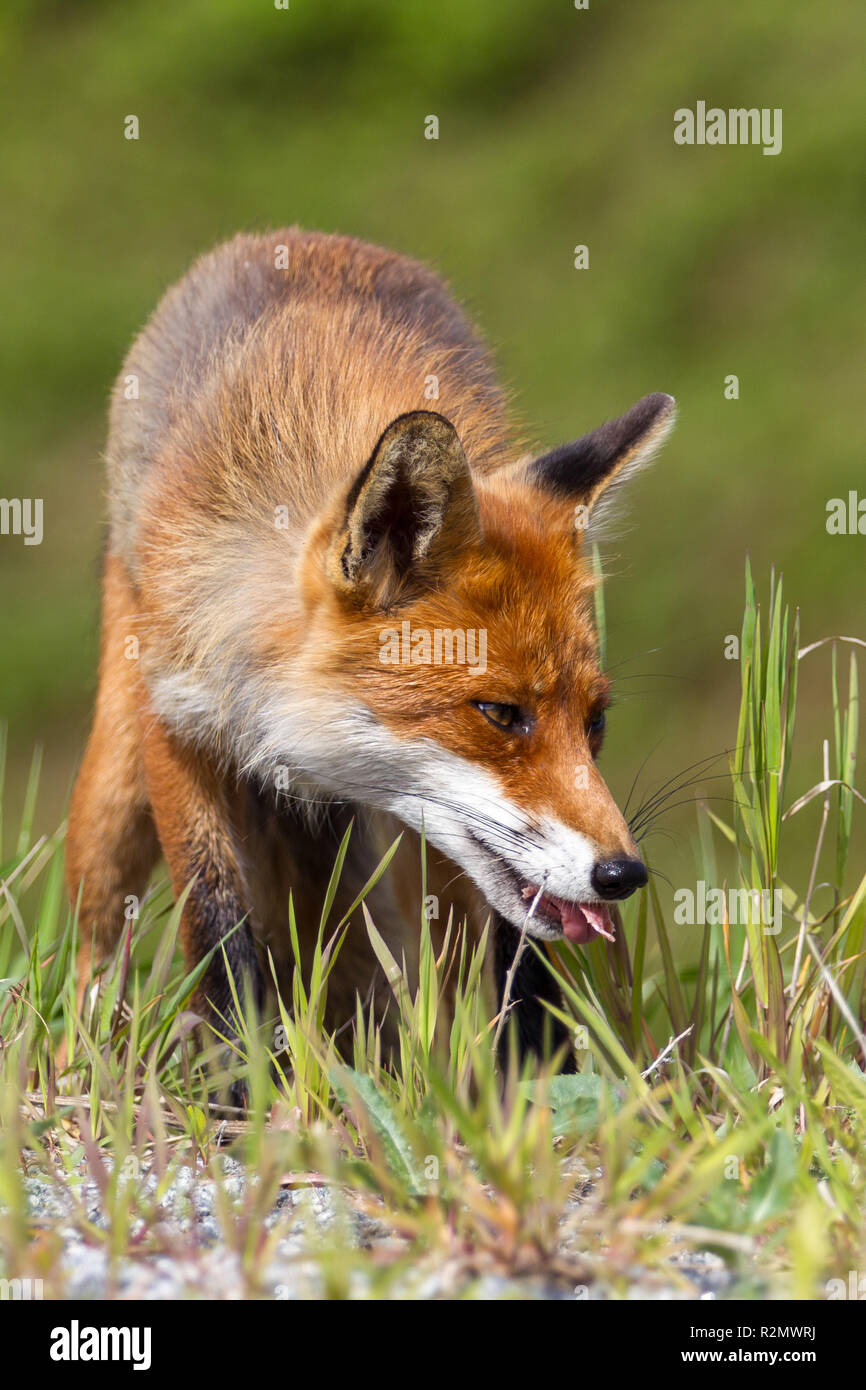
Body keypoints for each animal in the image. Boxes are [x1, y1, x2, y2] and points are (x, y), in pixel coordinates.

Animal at [66, 228, 676, 1075]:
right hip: (114, 795)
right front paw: (241, 1080)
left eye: (596, 723)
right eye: (499, 713)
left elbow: (514, 963)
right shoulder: (178, 717)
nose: (623, 874)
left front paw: (531, 1083)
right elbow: (219, 929)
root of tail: (290, 234)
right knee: (96, 939)